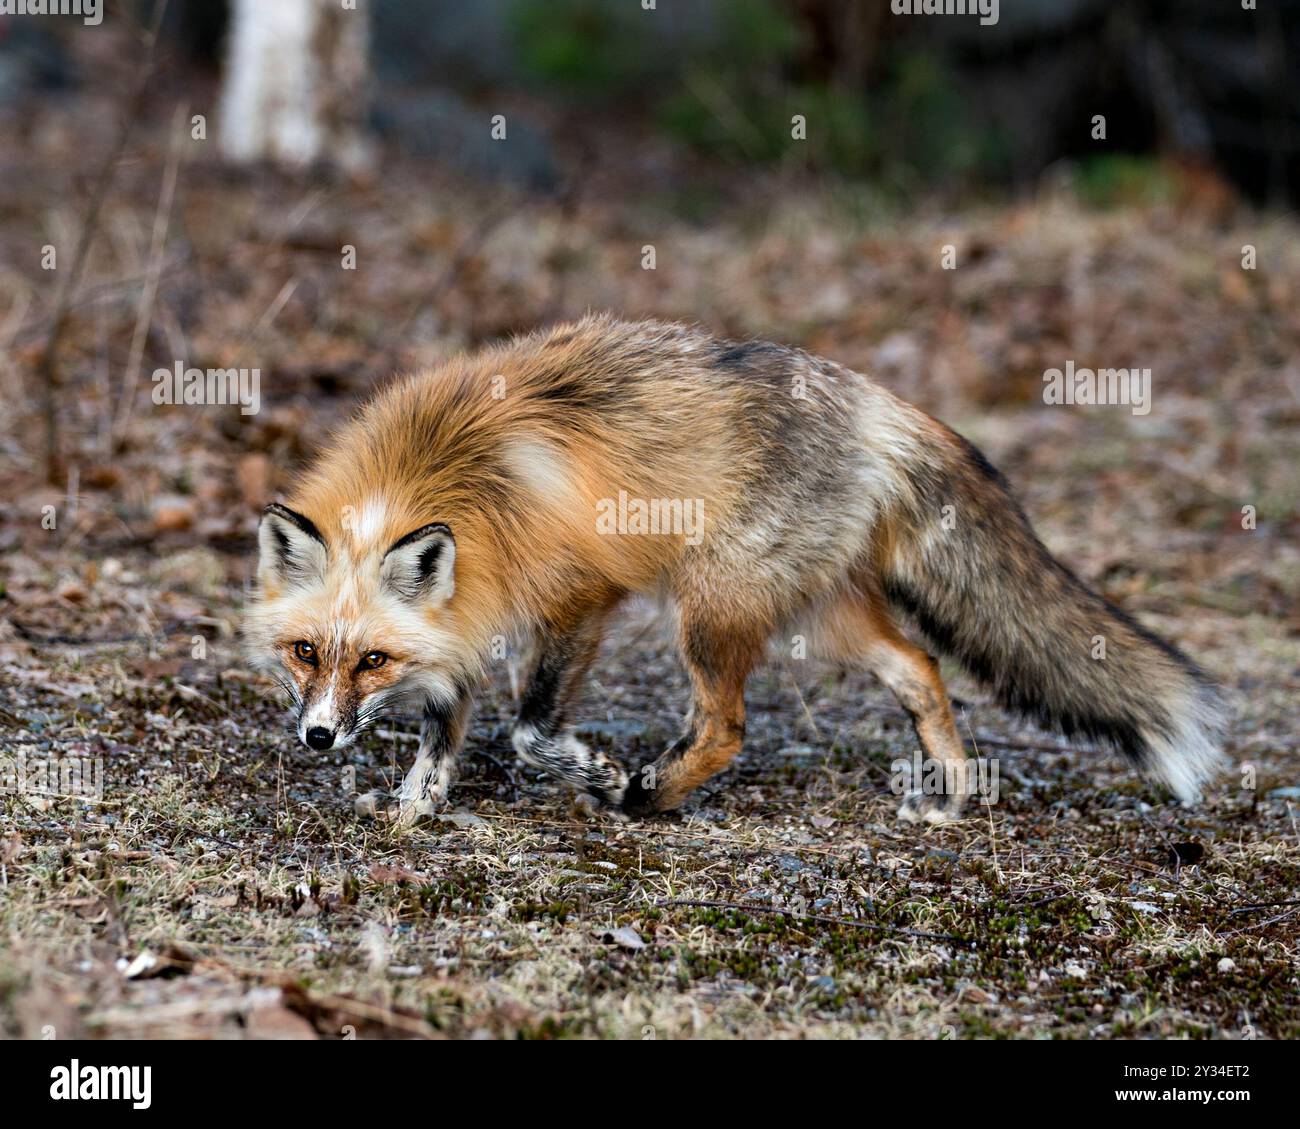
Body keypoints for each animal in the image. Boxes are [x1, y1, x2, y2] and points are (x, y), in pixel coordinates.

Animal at [244, 314, 1225, 824]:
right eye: (306, 652)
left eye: (372, 659)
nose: (318, 738)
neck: (449, 473)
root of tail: (879, 401)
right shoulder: (468, 616)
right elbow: (446, 720)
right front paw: (418, 804)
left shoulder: (579, 598)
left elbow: (528, 728)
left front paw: (587, 768)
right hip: (820, 613)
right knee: (920, 666)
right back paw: (948, 793)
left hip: (709, 609)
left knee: (728, 727)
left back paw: (646, 794)